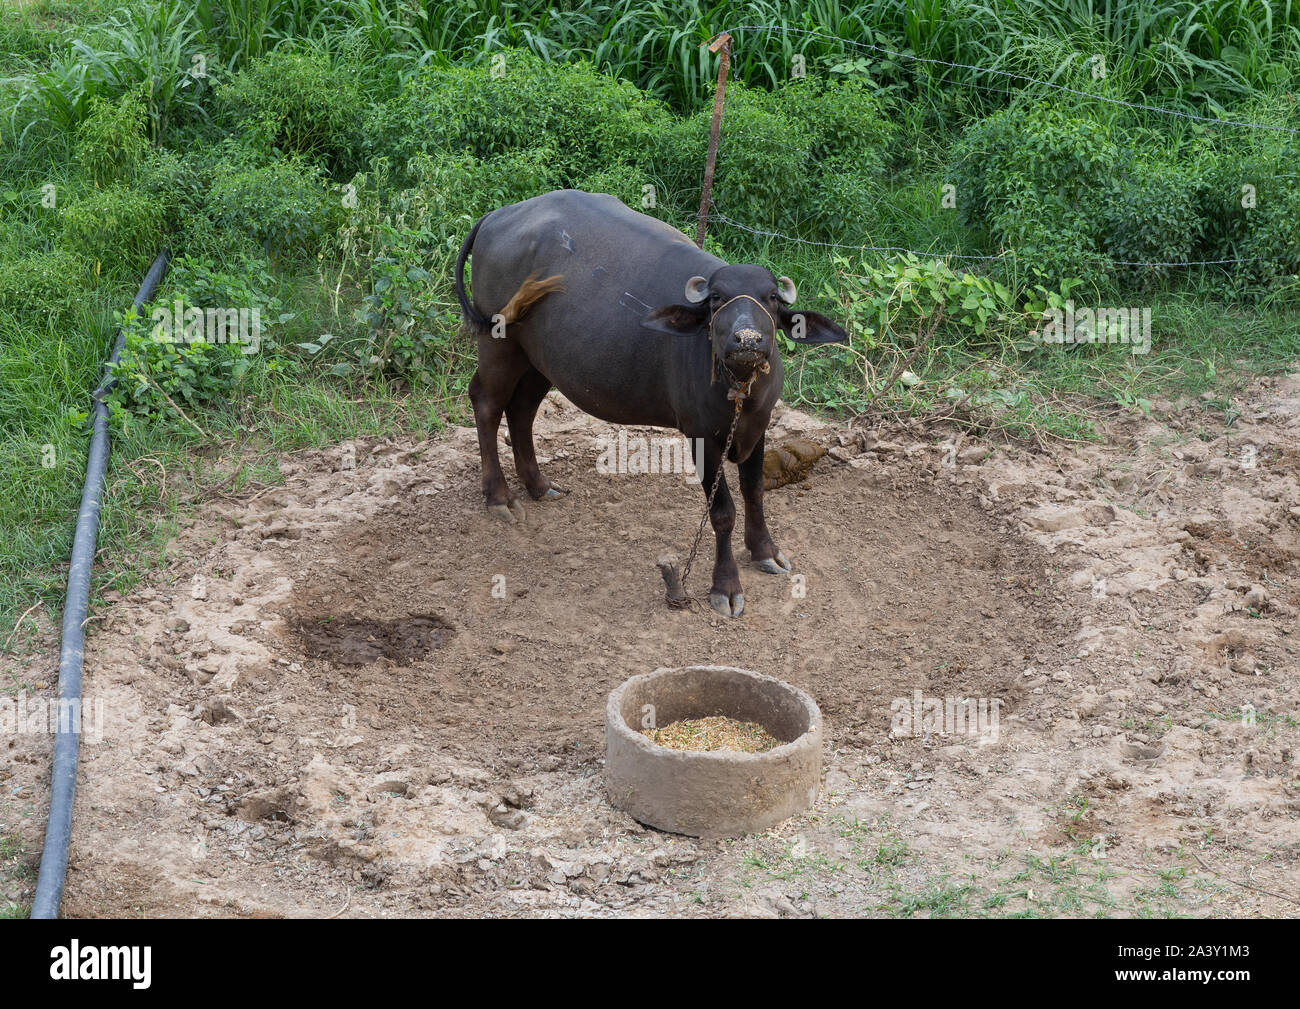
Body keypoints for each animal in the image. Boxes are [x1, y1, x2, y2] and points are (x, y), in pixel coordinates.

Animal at [455, 189, 847, 616]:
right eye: (716, 299)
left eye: (772, 298)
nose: (746, 339)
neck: (739, 388)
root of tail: (497, 216)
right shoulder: (701, 437)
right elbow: (722, 512)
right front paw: (725, 585)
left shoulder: (758, 425)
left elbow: (755, 490)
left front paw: (764, 551)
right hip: (499, 341)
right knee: (487, 403)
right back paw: (499, 497)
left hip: (540, 358)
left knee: (522, 410)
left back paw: (539, 486)